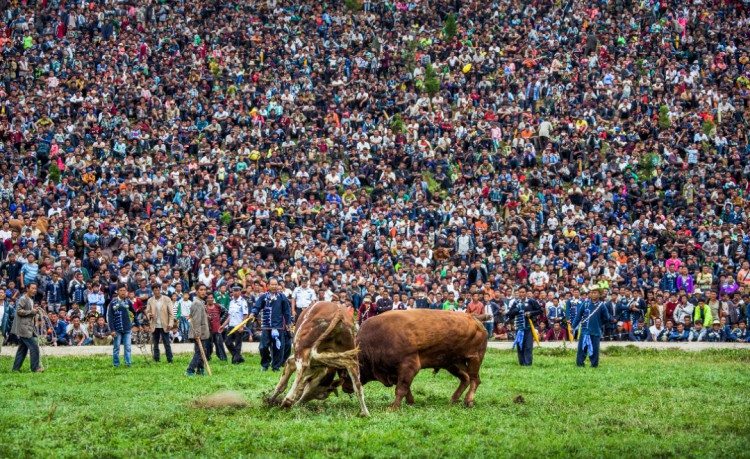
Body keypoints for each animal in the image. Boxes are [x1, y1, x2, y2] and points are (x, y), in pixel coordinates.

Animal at [346, 310, 490, 410]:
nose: (346, 388)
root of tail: (473, 317)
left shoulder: (409, 366)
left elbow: (401, 388)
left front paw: (393, 407)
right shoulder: (396, 372)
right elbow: (405, 387)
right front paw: (410, 402)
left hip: (474, 358)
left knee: (474, 379)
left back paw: (468, 401)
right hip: (453, 363)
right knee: (466, 378)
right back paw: (453, 399)